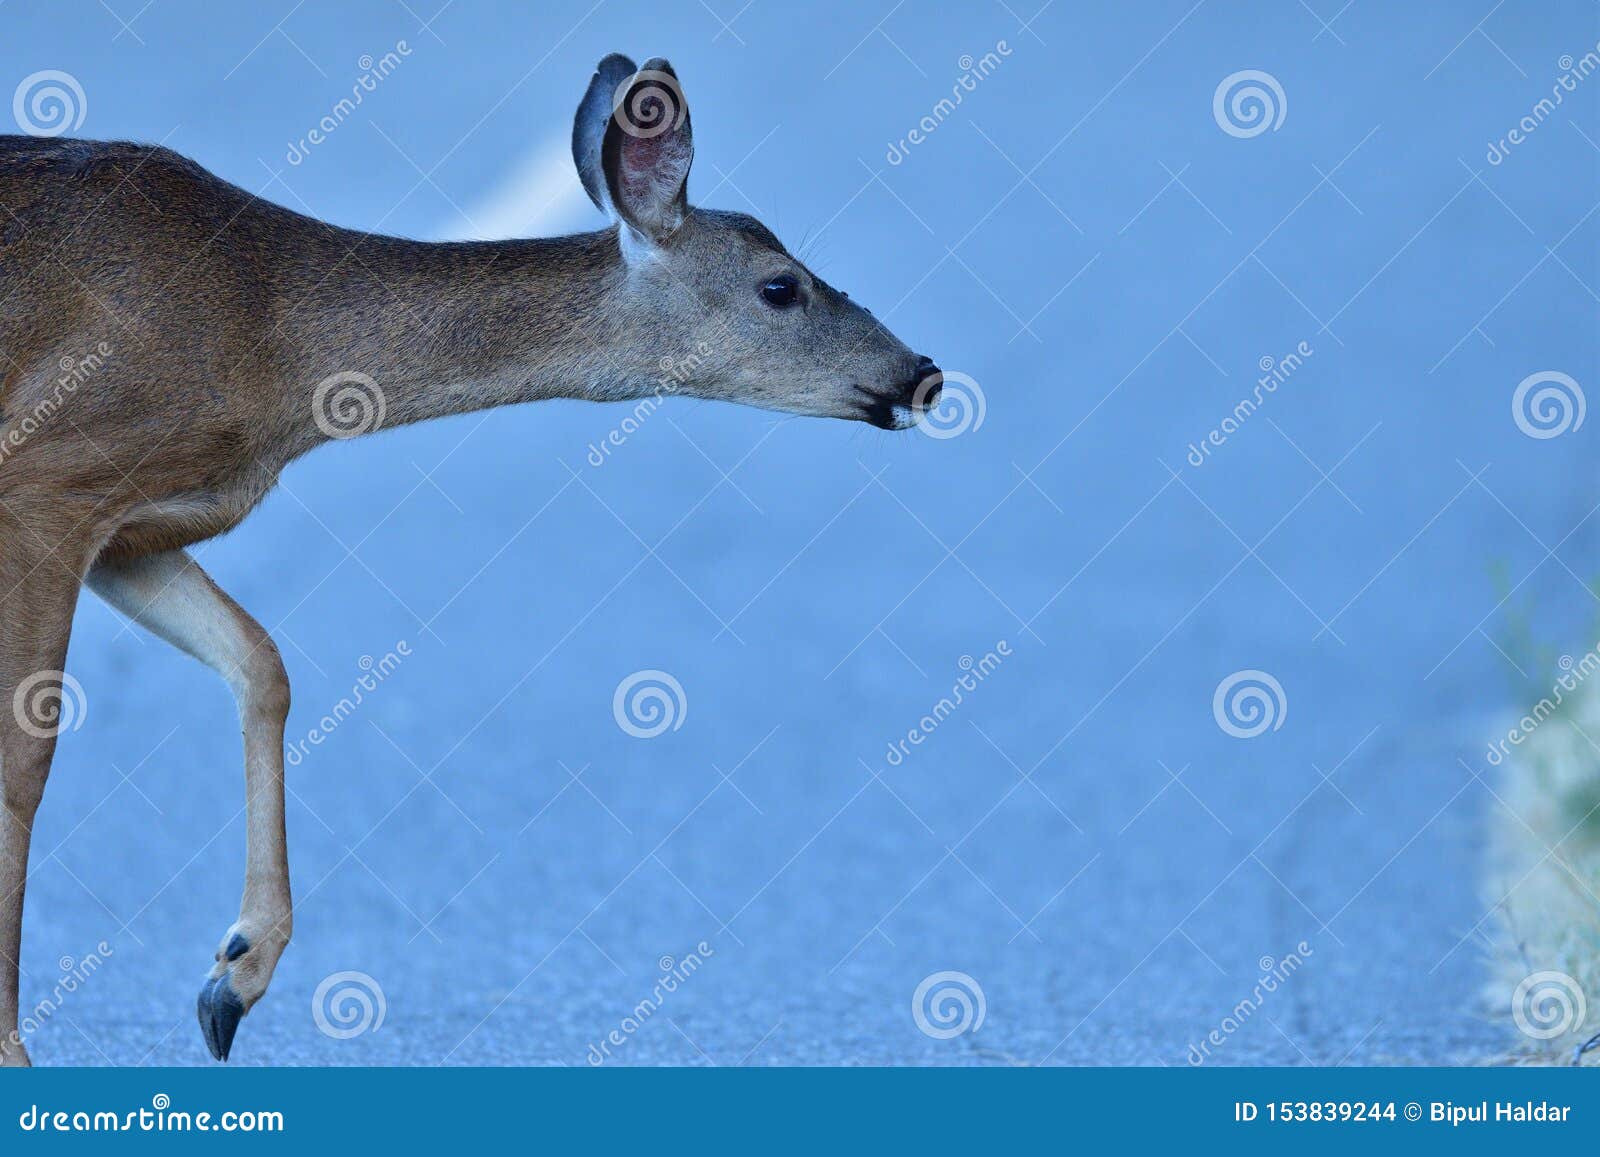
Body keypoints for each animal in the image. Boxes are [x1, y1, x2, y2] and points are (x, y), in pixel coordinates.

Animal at [0, 53, 943, 1065]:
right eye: (780, 286)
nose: (920, 371)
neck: (277, 342)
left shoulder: (130, 530)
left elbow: (262, 664)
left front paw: (234, 977)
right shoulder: (50, 473)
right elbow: (26, 758)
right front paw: (16, 1048)